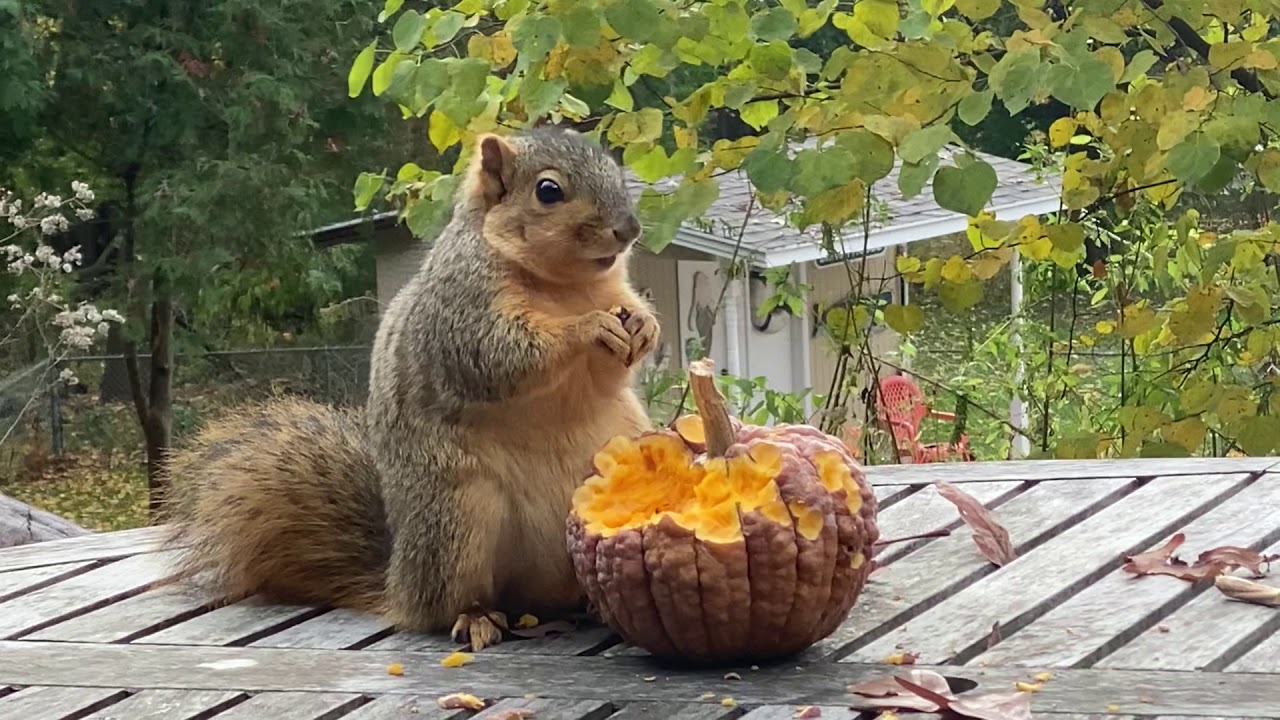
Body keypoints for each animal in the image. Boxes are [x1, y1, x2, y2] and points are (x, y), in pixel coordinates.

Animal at [160, 126, 660, 650]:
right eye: (548, 191)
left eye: (613, 169)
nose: (629, 230)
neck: (567, 287)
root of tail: (398, 583)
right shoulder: (462, 312)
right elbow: (501, 355)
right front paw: (587, 327)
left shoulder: (611, 295)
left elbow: (612, 370)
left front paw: (644, 326)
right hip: (456, 517)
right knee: (447, 603)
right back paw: (475, 616)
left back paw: (586, 603)